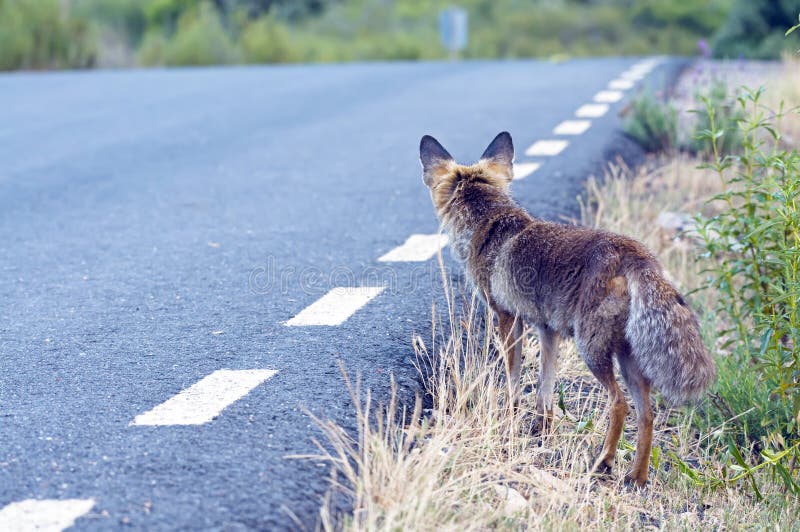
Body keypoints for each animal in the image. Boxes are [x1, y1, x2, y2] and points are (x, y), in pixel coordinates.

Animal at [419, 131, 715, 486]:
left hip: (592, 351)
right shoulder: (547, 330)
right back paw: (637, 477)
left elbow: (513, 380)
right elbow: (545, 389)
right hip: (626, 358)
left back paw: (604, 461)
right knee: (647, 415)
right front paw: (542, 429)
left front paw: (510, 417)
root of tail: (634, 252)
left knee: (620, 404)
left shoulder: (508, 319)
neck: (491, 228)